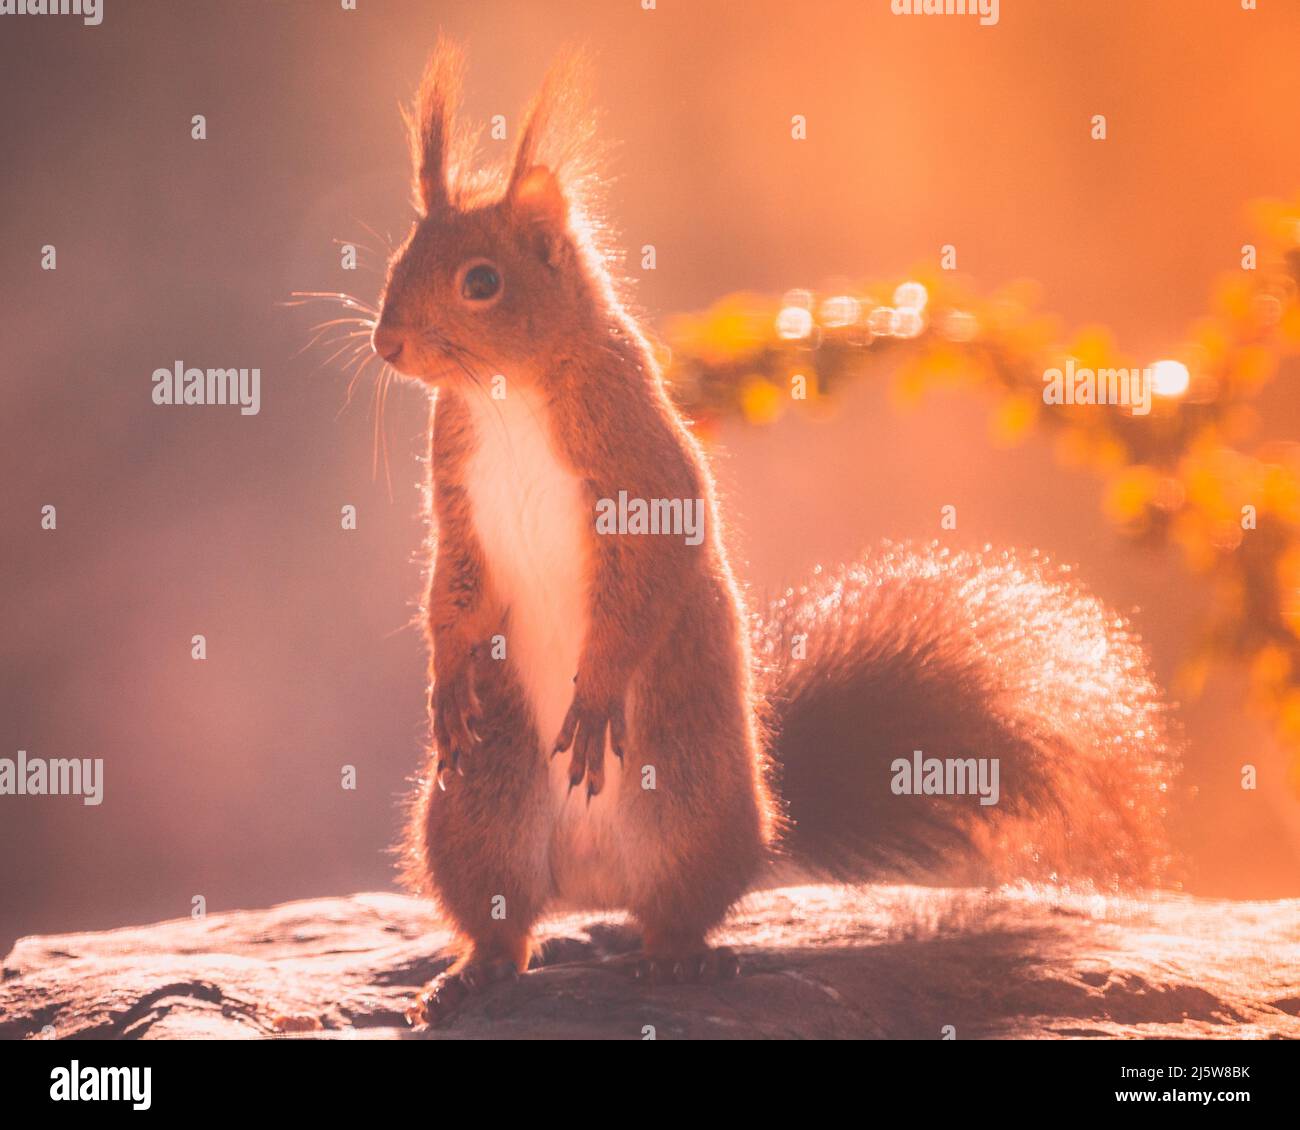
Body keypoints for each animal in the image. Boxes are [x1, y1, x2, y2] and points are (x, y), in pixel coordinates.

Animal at [369, 42, 1179, 1026]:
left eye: (480, 281)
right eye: (400, 254)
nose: (386, 344)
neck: (507, 392)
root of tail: (594, 886)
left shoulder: (645, 476)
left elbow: (645, 581)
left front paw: (595, 691)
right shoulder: (458, 504)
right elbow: (453, 588)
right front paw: (447, 680)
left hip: (689, 801)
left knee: (677, 910)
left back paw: (680, 960)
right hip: (477, 805)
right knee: (506, 923)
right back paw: (470, 974)